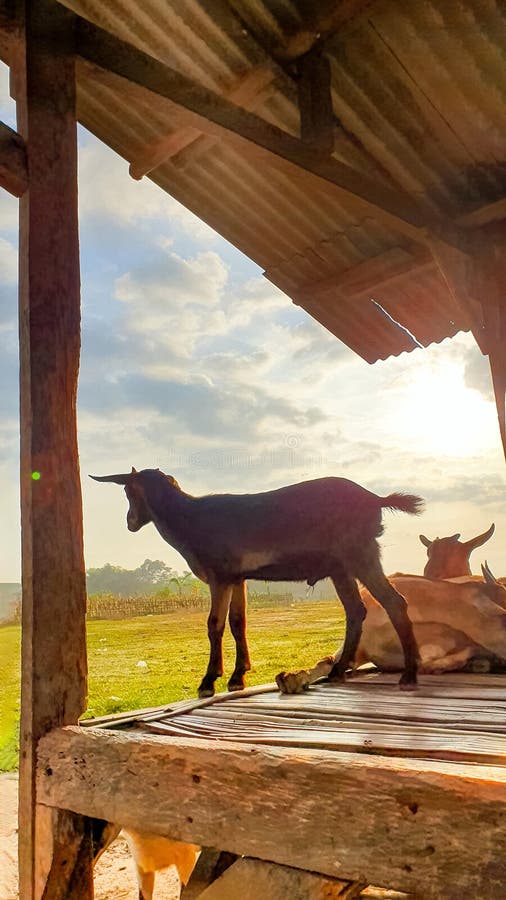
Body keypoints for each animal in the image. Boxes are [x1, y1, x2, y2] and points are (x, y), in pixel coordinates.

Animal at [91, 468, 424, 693]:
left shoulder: (220, 575)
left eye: (128, 492)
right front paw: (238, 676)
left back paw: (409, 674)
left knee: (393, 602)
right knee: (357, 610)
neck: (189, 518)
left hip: (359, 554)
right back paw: (339, 671)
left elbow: (214, 624)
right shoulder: (238, 578)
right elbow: (238, 622)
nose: (130, 522)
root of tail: (375, 499)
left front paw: (208, 681)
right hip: (342, 567)